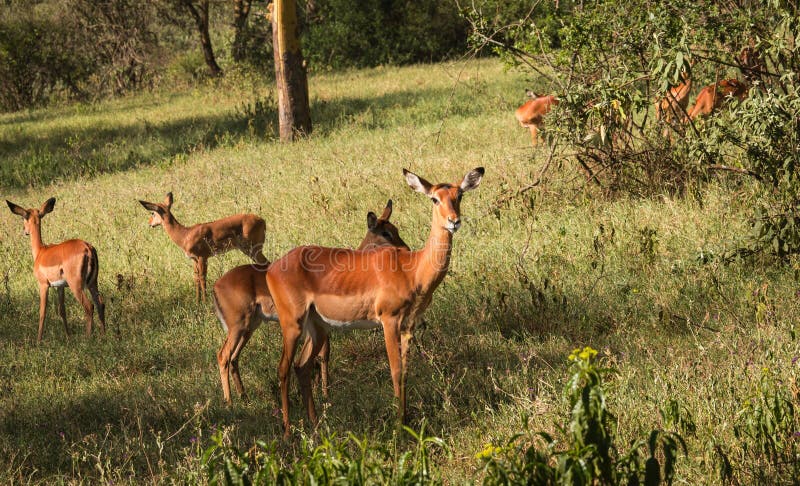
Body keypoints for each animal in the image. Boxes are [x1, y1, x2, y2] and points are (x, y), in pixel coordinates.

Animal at [6, 198, 107, 343]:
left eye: (23, 218)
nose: (24, 231)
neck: (41, 252)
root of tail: (88, 248)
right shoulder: (60, 287)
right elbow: (62, 310)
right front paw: (68, 337)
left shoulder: (43, 285)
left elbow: (42, 311)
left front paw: (38, 341)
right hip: (92, 283)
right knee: (100, 304)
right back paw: (104, 336)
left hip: (76, 285)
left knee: (89, 306)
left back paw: (88, 338)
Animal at [138, 192, 268, 302]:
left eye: (152, 213)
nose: (150, 223)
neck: (185, 235)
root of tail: (263, 220)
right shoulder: (194, 259)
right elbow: (196, 279)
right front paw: (197, 301)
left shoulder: (202, 257)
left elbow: (202, 278)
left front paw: (205, 302)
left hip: (253, 249)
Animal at [212, 200, 409, 404]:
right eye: (386, 233)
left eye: (395, 229)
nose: (405, 249)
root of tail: (216, 285)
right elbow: (323, 355)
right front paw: (325, 393)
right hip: (240, 326)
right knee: (223, 356)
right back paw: (230, 403)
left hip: (249, 327)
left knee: (233, 358)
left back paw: (243, 396)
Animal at [266, 167, 484, 437]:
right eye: (434, 198)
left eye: (459, 195)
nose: (454, 221)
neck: (412, 269)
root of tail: (271, 269)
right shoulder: (389, 321)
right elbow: (395, 370)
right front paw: (399, 427)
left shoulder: (409, 325)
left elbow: (406, 372)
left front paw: (407, 419)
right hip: (292, 324)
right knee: (283, 369)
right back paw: (287, 432)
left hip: (317, 328)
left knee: (301, 366)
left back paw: (316, 426)